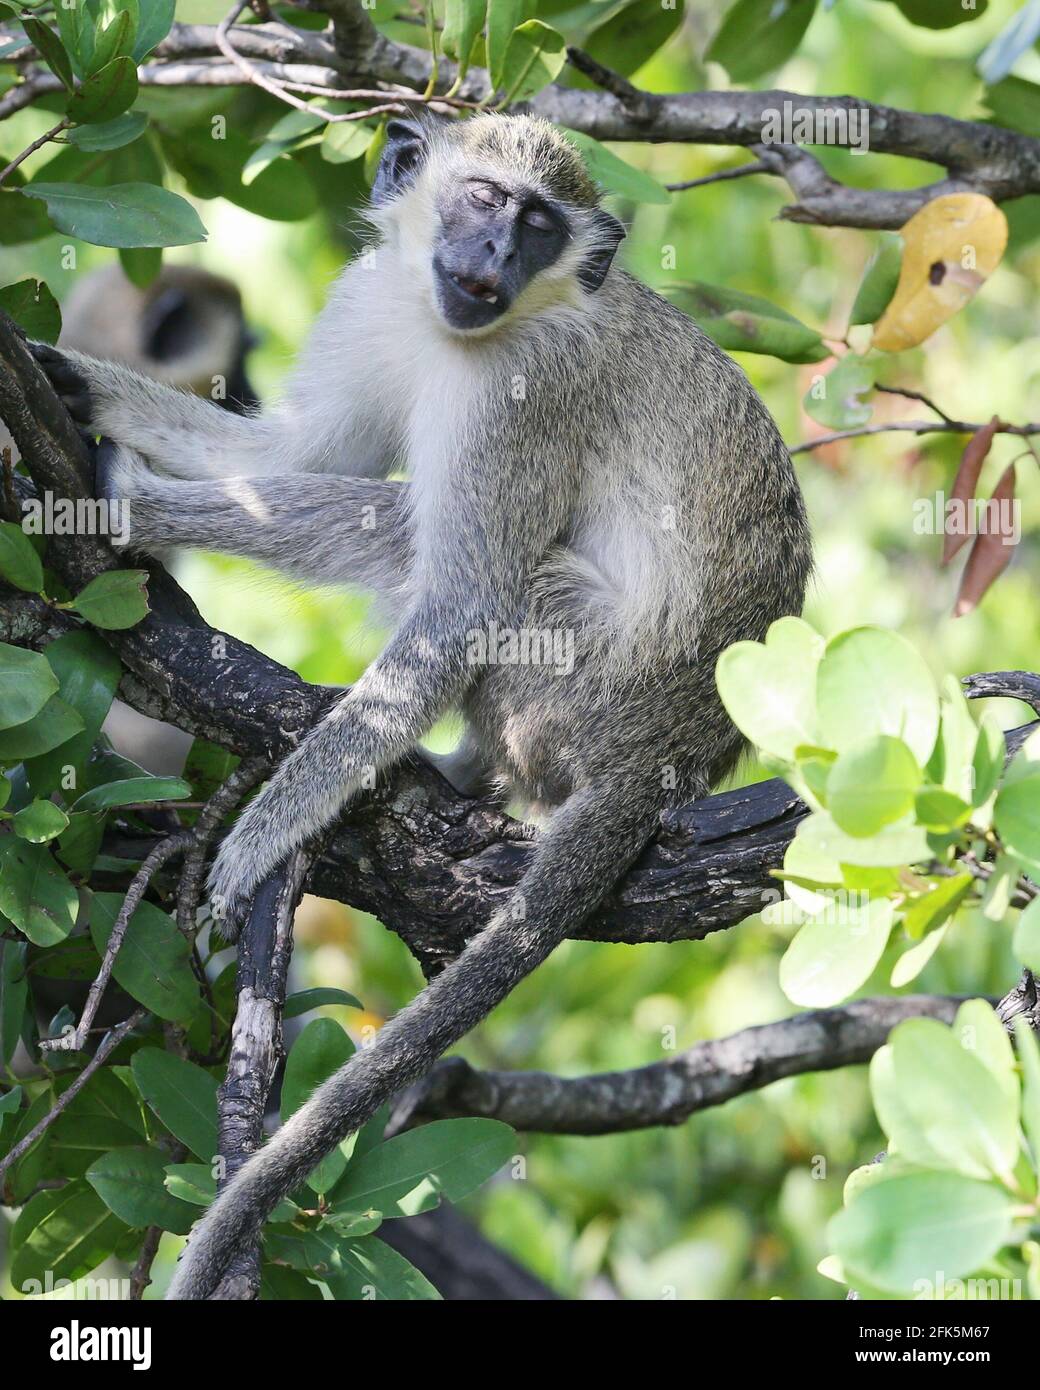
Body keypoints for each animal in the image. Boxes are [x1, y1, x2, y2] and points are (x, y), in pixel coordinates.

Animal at [31, 112, 812, 1299]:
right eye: (482, 199)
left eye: (539, 226)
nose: (490, 258)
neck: (453, 332)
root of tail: (675, 750)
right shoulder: (370, 301)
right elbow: (288, 453)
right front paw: (86, 383)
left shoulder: (524, 390)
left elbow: (457, 603)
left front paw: (266, 831)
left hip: (573, 676)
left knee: (430, 545)